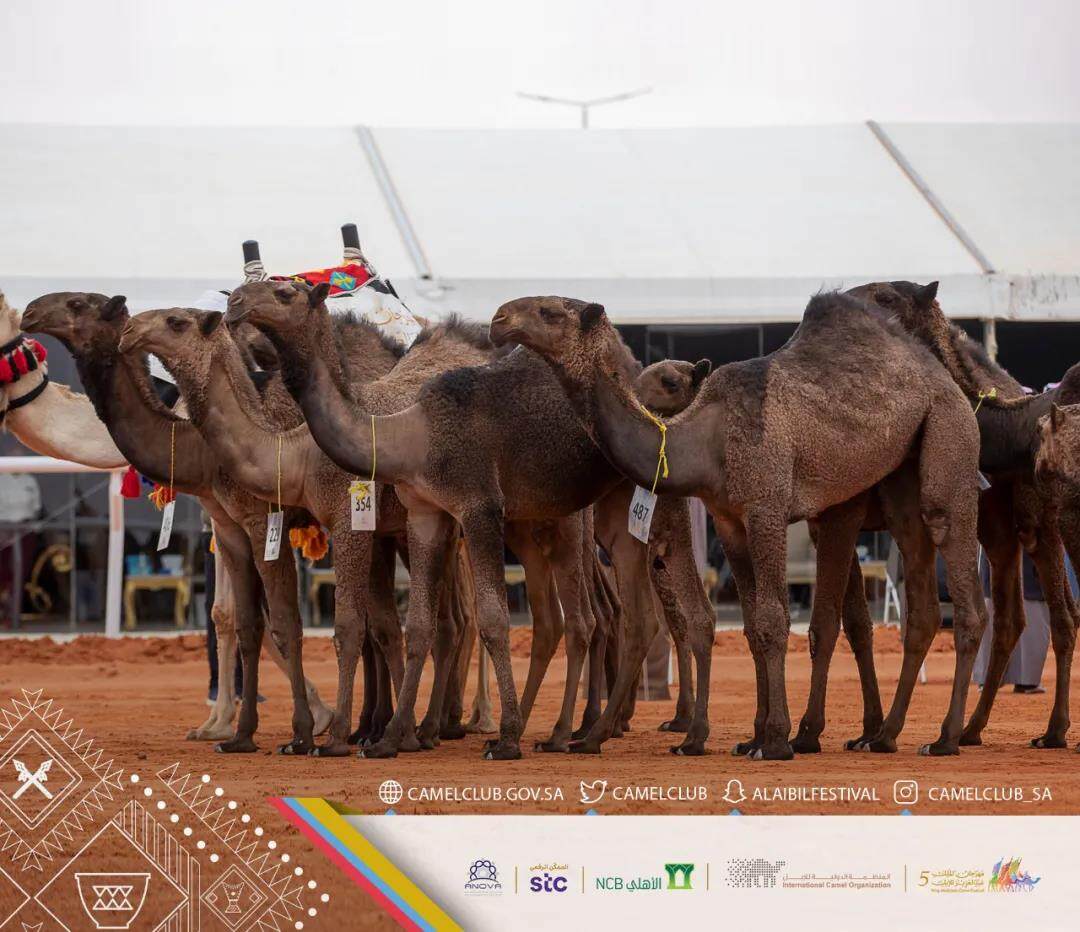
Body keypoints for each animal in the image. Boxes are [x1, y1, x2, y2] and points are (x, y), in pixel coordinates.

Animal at [3, 290, 332, 742]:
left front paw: (312, 716)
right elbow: (226, 614)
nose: (31, 311)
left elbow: (257, 616)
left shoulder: (255, 518)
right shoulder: (220, 518)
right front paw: (219, 723)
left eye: (78, 304)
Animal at [226, 280, 715, 759]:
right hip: (591, 524)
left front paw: (505, 738)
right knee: (622, 618)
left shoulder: (477, 507)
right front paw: (391, 738)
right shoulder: (426, 514)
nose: (234, 301)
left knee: (622, 616)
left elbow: (493, 620)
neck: (411, 436)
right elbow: (419, 625)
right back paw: (587, 732)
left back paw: (622, 732)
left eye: (286, 292)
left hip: (619, 514)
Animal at [492, 293, 988, 760]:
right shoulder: (729, 521)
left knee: (961, 576)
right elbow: (752, 625)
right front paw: (754, 737)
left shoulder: (765, 507)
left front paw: (776, 740)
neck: (707, 438)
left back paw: (946, 737)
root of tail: (942, 378)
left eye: (550, 311)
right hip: (897, 483)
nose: (498, 320)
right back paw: (883, 735)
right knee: (919, 604)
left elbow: (773, 617)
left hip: (948, 434)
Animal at [848, 281, 1079, 750]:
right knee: (1029, 619)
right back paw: (987, 730)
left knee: (1058, 618)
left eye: (887, 296)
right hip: (1011, 530)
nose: (846, 296)